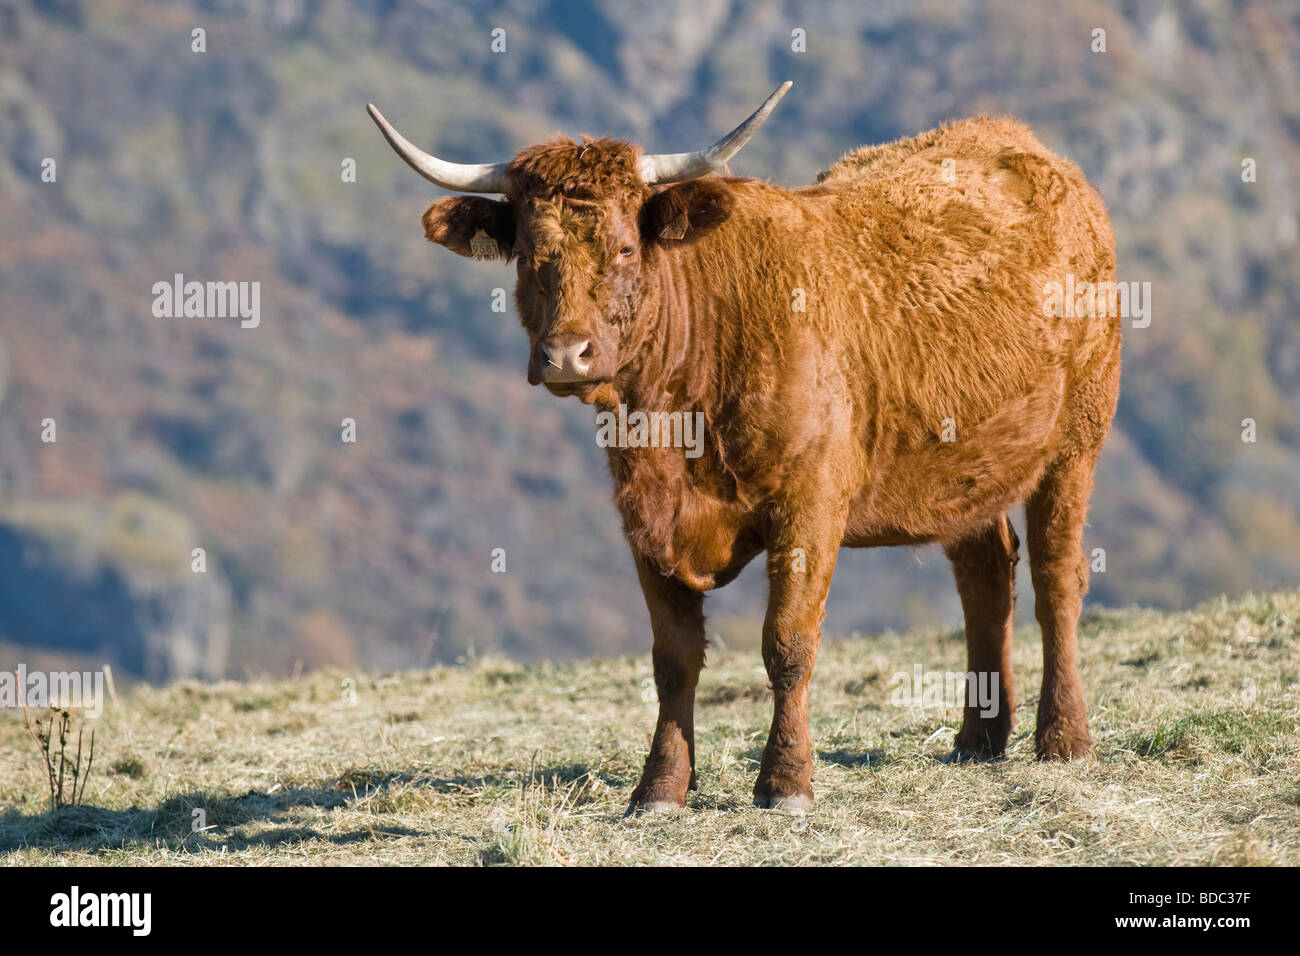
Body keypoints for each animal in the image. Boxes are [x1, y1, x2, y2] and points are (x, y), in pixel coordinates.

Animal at [369, 81, 1121, 811]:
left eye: (623, 249)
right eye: (528, 256)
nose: (564, 355)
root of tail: (1017, 141)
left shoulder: (810, 505)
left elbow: (786, 641)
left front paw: (785, 783)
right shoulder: (643, 520)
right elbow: (673, 657)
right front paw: (660, 787)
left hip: (1077, 441)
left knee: (1057, 578)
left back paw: (1063, 738)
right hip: (966, 466)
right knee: (985, 575)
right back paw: (979, 738)